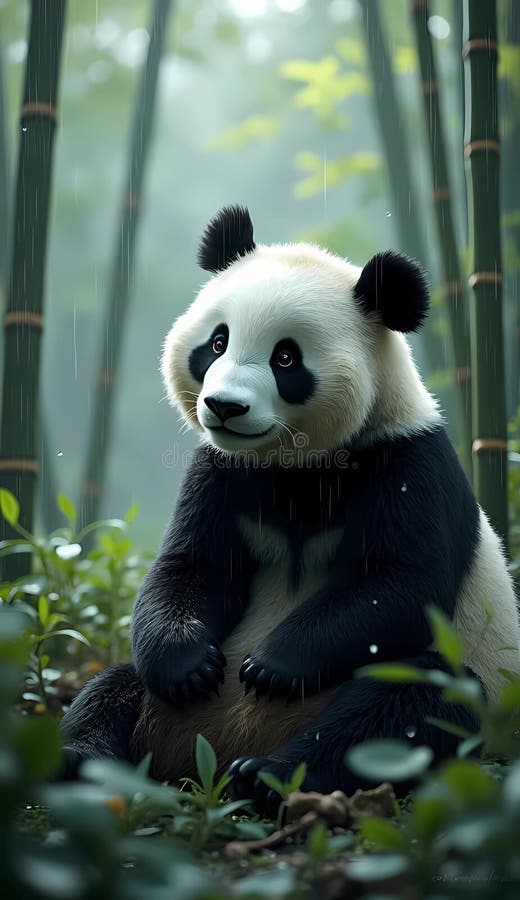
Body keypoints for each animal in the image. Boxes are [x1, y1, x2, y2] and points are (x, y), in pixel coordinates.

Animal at [62, 205, 520, 813]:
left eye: (286, 357)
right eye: (217, 342)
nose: (223, 406)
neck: (297, 463)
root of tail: (208, 755)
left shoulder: (406, 462)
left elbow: (400, 584)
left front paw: (273, 666)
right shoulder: (221, 470)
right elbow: (193, 567)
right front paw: (188, 665)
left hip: (465, 693)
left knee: (408, 707)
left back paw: (266, 774)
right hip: (159, 714)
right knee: (114, 686)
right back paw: (87, 762)